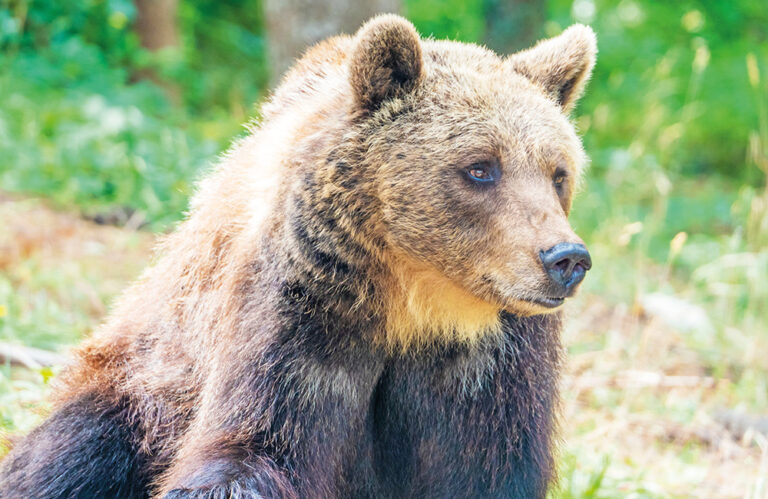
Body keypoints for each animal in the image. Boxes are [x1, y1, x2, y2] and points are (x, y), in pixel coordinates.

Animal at [0, 14, 596, 499]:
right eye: (480, 167)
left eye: (558, 172)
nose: (565, 258)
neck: (414, 300)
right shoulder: (305, 311)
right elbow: (254, 447)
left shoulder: (491, 360)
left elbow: (485, 466)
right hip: (141, 384)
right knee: (73, 453)